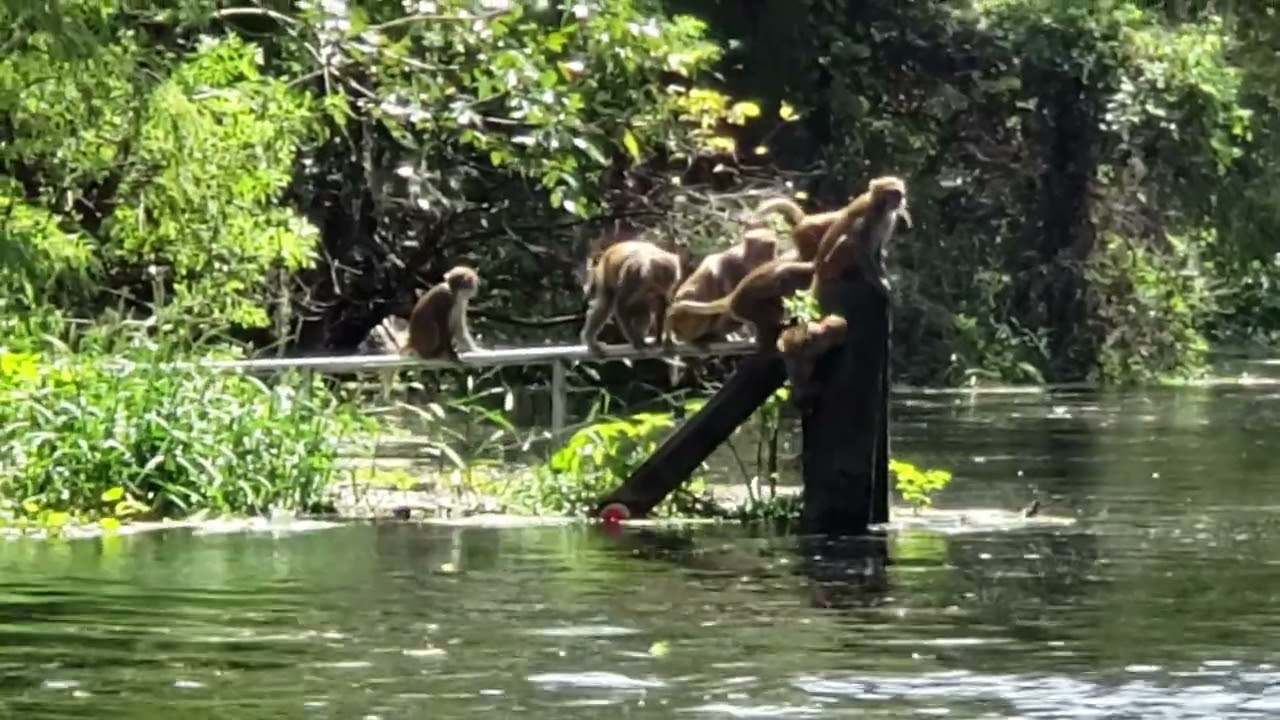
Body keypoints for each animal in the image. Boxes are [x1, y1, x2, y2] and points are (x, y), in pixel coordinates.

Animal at [810, 175, 908, 307]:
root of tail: (818, 271)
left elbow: (877, 251)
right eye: (893, 193)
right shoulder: (867, 219)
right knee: (848, 241)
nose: (900, 200)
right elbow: (861, 249)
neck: (880, 207)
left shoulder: (889, 220)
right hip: (830, 265)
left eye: (899, 194)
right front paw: (883, 287)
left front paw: (887, 281)